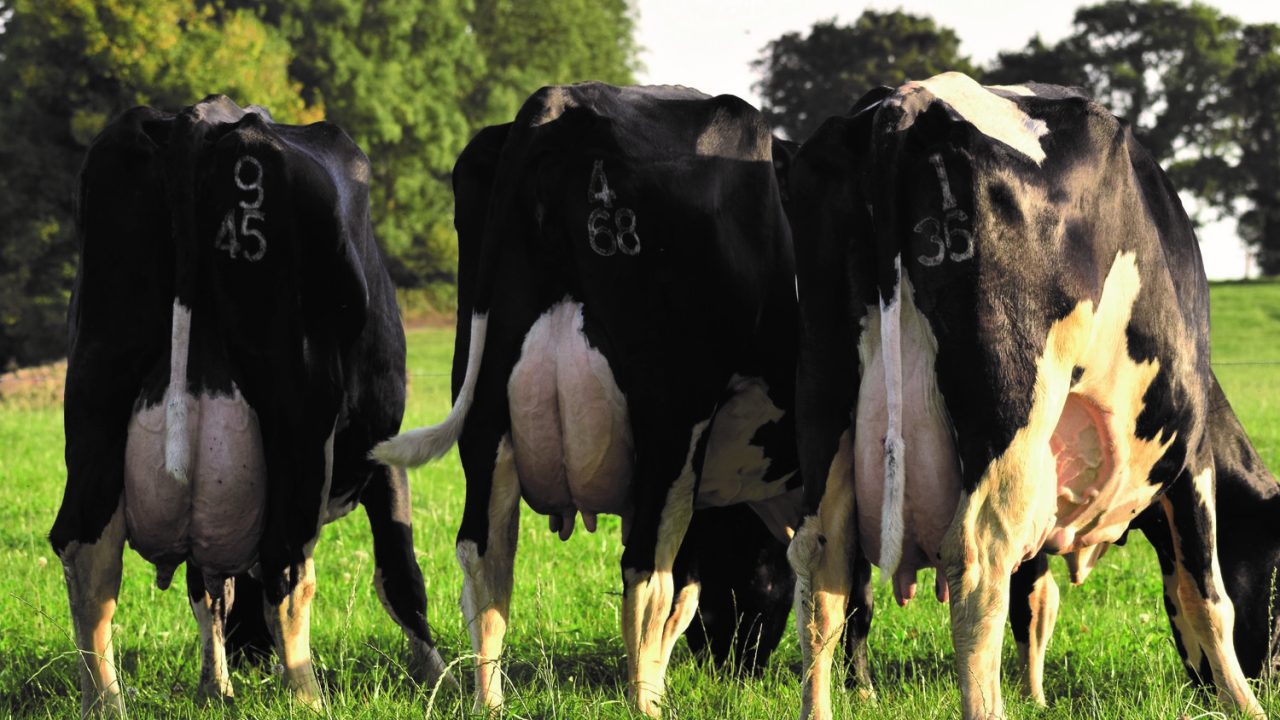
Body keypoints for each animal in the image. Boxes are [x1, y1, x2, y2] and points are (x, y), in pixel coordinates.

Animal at [48, 95, 451, 716]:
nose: (250, 656)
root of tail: (201, 116)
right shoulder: (384, 458)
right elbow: (401, 574)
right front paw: (443, 680)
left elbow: (208, 589)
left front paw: (214, 687)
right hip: (300, 424)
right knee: (289, 569)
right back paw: (308, 697)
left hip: (96, 393)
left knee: (86, 553)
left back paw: (107, 701)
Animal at [372, 82, 801, 716]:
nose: (736, 664)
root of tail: (564, 99)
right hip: (671, 420)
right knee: (646, 573)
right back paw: (645, 702)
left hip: (485, 414)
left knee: (485, 558)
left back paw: (490, 700)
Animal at [786, 72, 1265, 719]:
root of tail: (909, 101)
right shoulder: (1190, 455)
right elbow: (1208, 595)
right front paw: (1246, 703)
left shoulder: (1048, 477)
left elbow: (1035, 596)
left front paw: (1036, 694)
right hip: (1013, 410)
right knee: (977, 568)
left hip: (825, 397)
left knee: (822, 565)